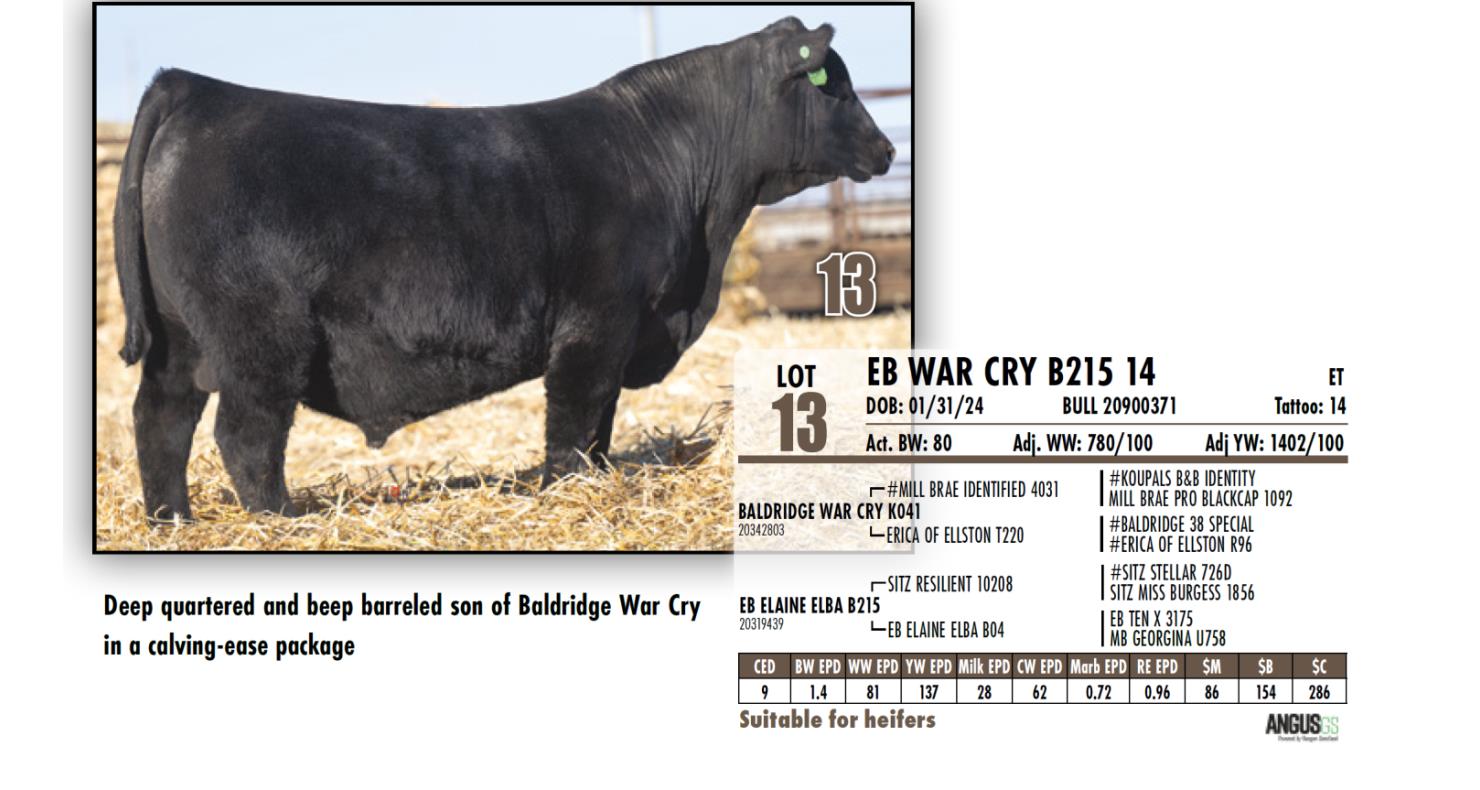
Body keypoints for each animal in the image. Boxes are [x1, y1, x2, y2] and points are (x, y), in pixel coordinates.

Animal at [113, 17, 895, 521]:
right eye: (834, 86)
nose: (887, 149)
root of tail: (194, 87)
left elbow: (600, 424)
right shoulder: (596, 323)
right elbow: (574, 417)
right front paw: (565, 489)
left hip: (179, 339)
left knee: (161, 419)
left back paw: (171, 519)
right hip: (260, 337)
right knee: (244, 434)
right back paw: (282, 519)